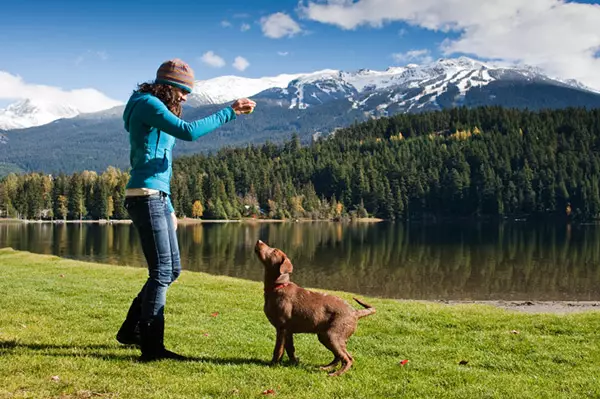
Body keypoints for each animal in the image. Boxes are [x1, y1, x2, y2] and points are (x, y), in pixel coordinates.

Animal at [253, 241, 376, 378]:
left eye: (274, 251)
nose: (259, 241)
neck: (277, 287)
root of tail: (355, 312)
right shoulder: (288, 330)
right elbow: (290, 349)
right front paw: (294, 363)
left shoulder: (282, 328)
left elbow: (278, 349)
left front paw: (272, 364)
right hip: (325, 336)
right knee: (338, 357)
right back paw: (326, 368)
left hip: (333, 335)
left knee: (348, 358)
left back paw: (336, 374)